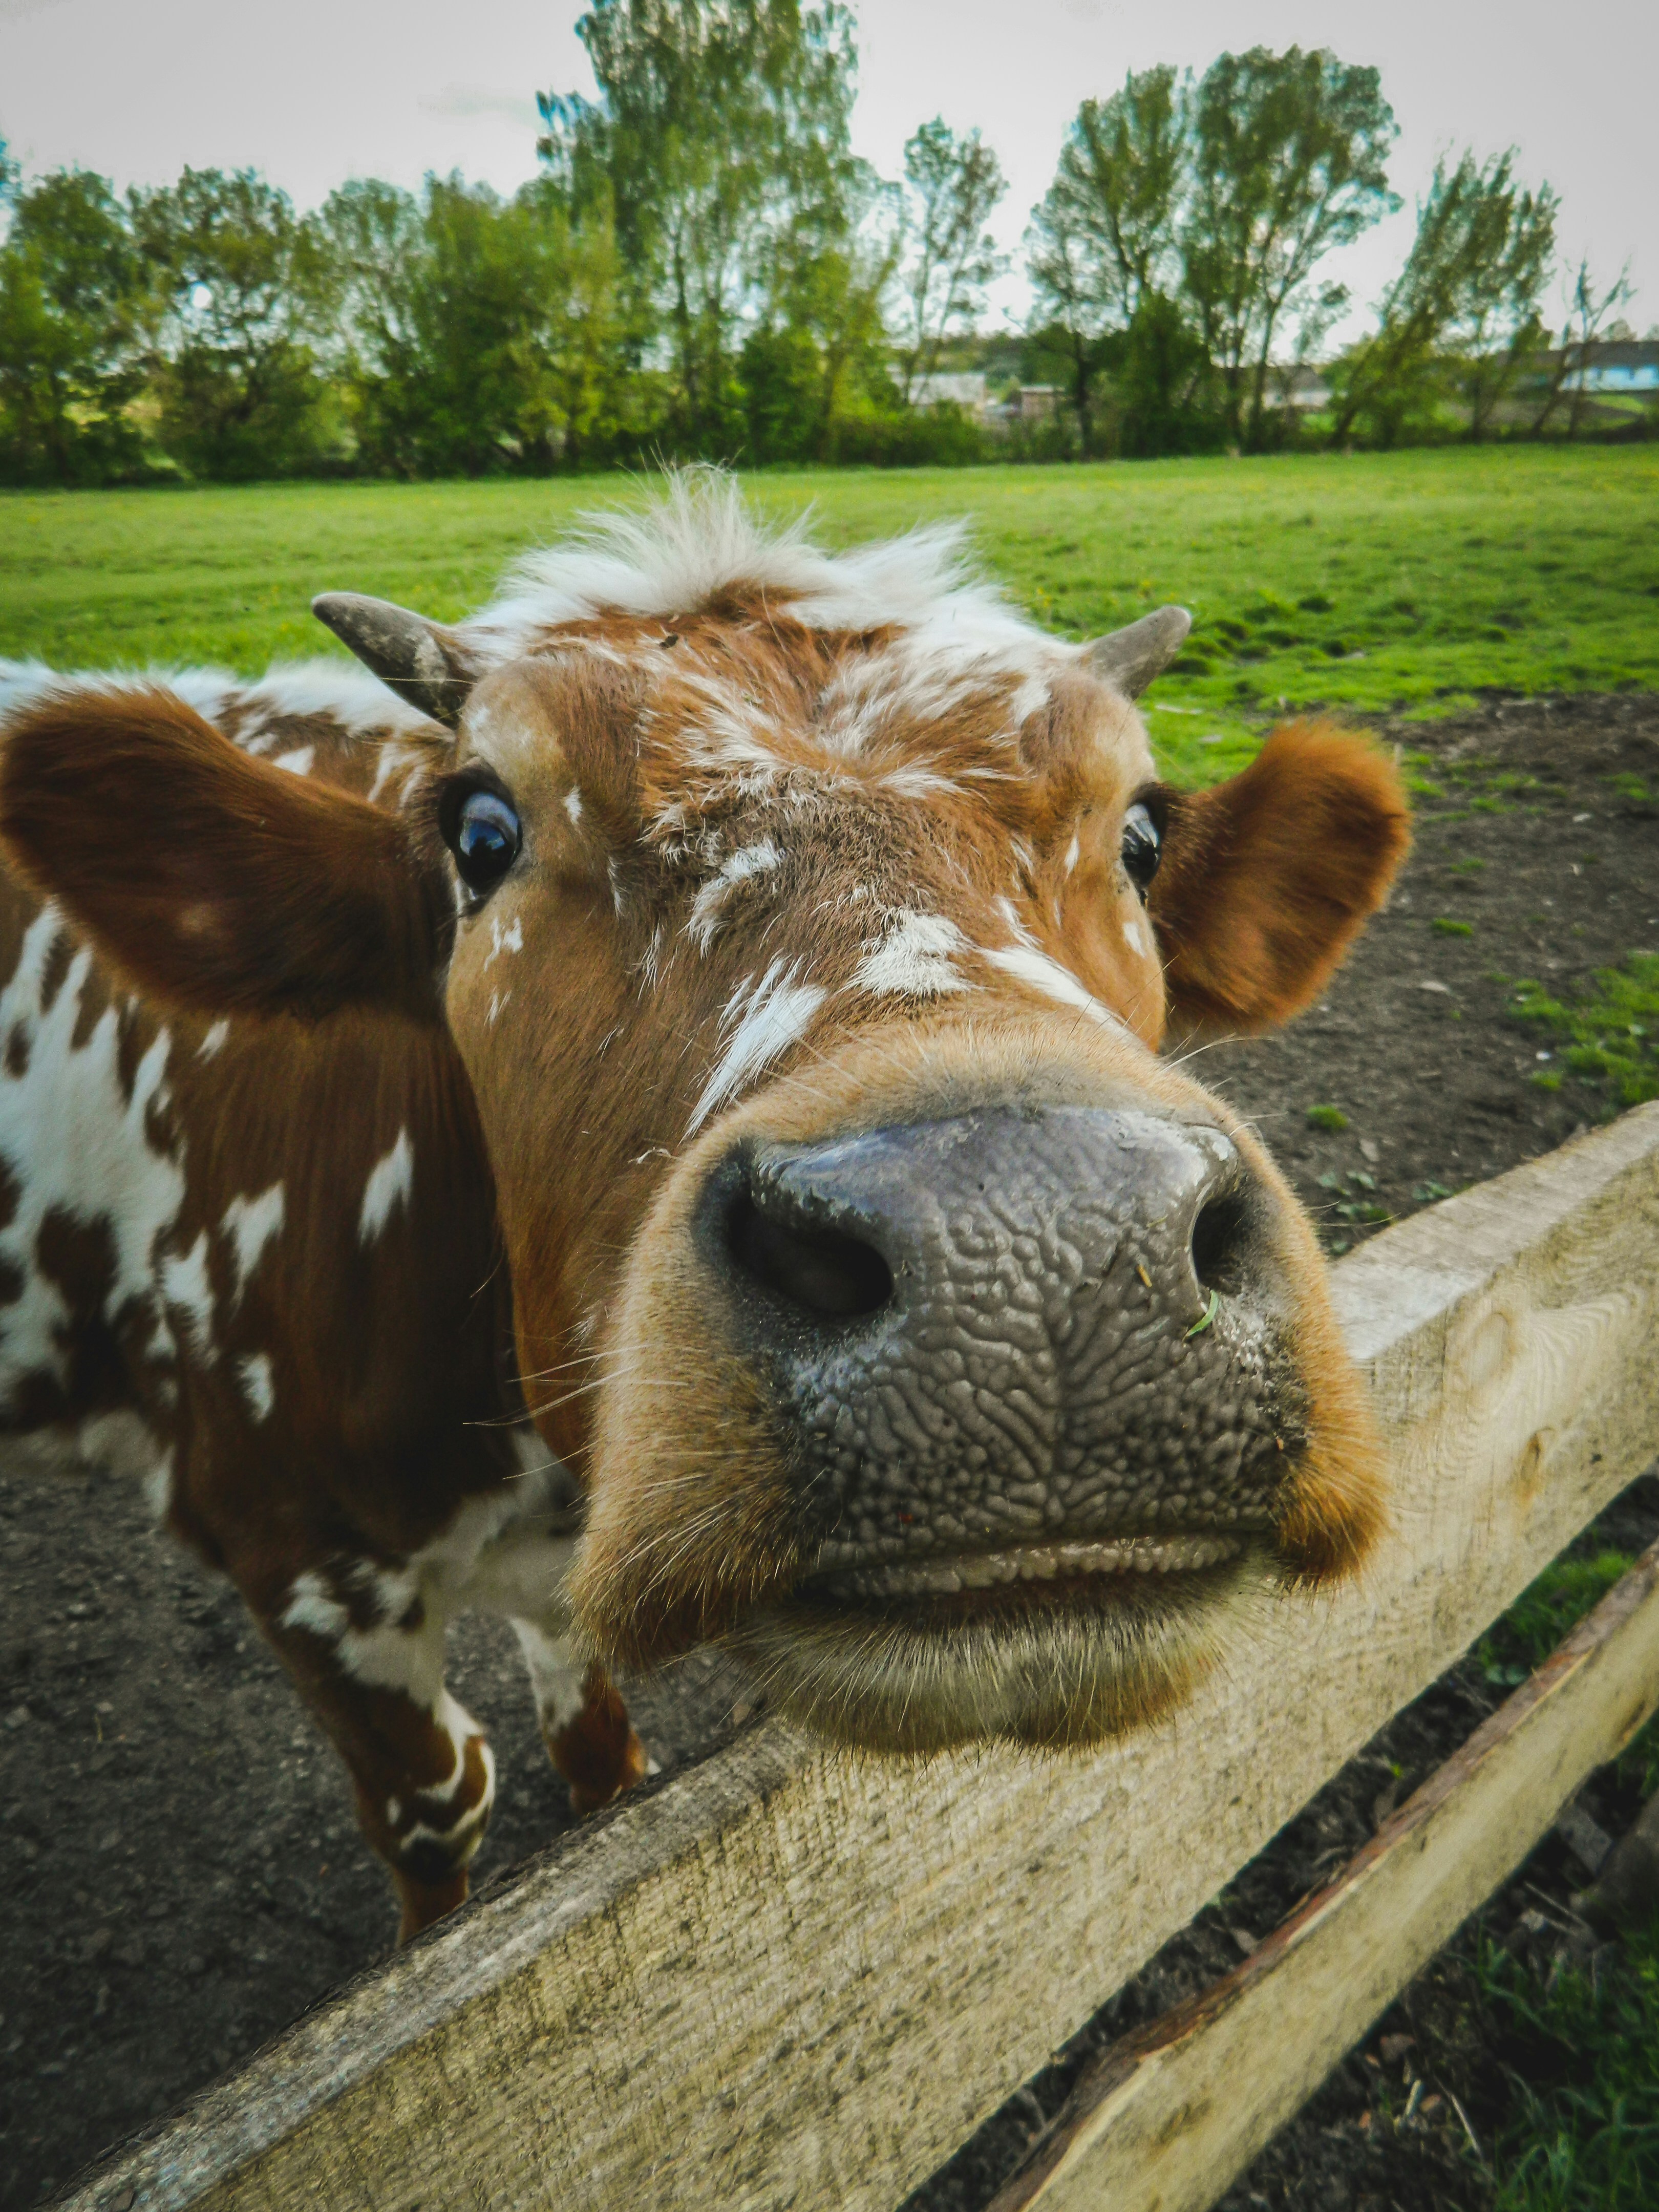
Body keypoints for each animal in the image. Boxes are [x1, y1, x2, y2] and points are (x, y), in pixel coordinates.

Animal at [0, 471, 1409, 1939]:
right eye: (483, 834)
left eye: (1139, 835)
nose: (1040, 1243)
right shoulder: (286, 1546)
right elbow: (439, 1807)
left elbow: (593, 1742)